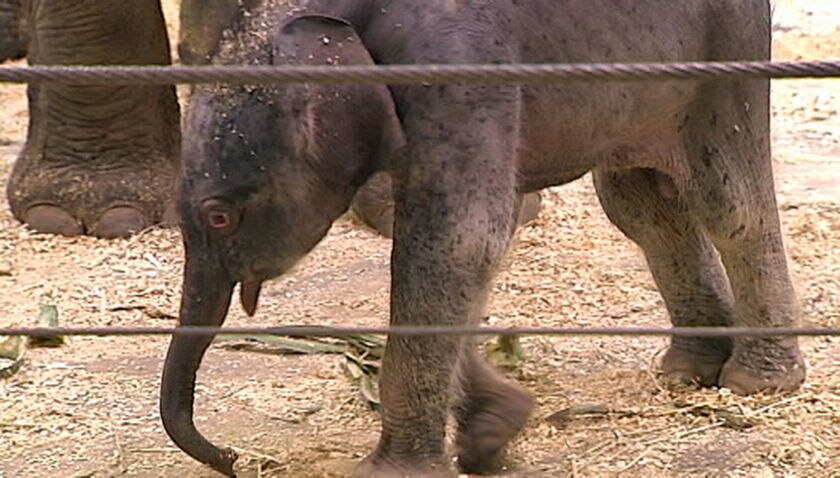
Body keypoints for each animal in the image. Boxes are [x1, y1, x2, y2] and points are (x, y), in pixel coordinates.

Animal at [162, 0, 806, 476]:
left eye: (220, 217)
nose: (235, 460)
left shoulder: (459, 66)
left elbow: (459, 240)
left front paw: (404, 469)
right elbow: (428, 236)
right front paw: (493, 434)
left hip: (724, 52)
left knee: (728, 201)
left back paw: (756, 382)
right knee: (642, 205)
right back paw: (689, 372)